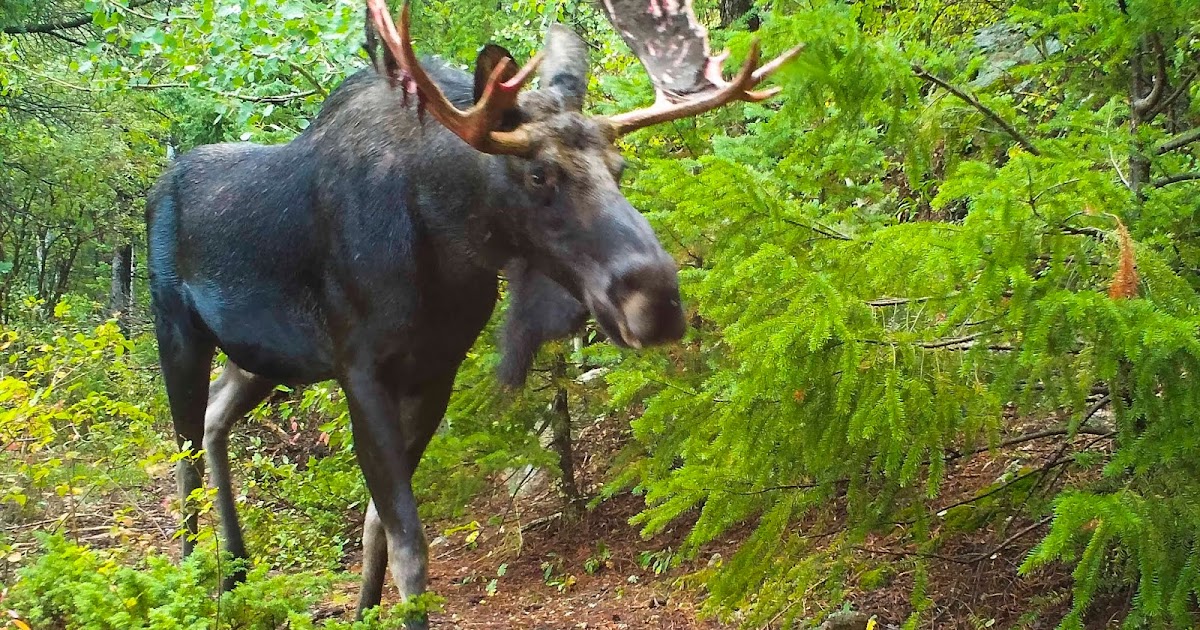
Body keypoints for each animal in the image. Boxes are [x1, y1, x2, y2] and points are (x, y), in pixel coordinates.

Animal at [145, 0, 800, 626]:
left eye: (620, 169)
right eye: (538, 174)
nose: (659, 299)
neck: (446, 242)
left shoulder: (436, 371)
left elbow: (376, 525)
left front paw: (364, 612)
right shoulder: (361, 370)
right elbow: (410, 544)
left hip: (264, 357)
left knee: (214, 420)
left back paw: (236, 568)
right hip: (176, 328)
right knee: (182, 454)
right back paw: (194, 579)